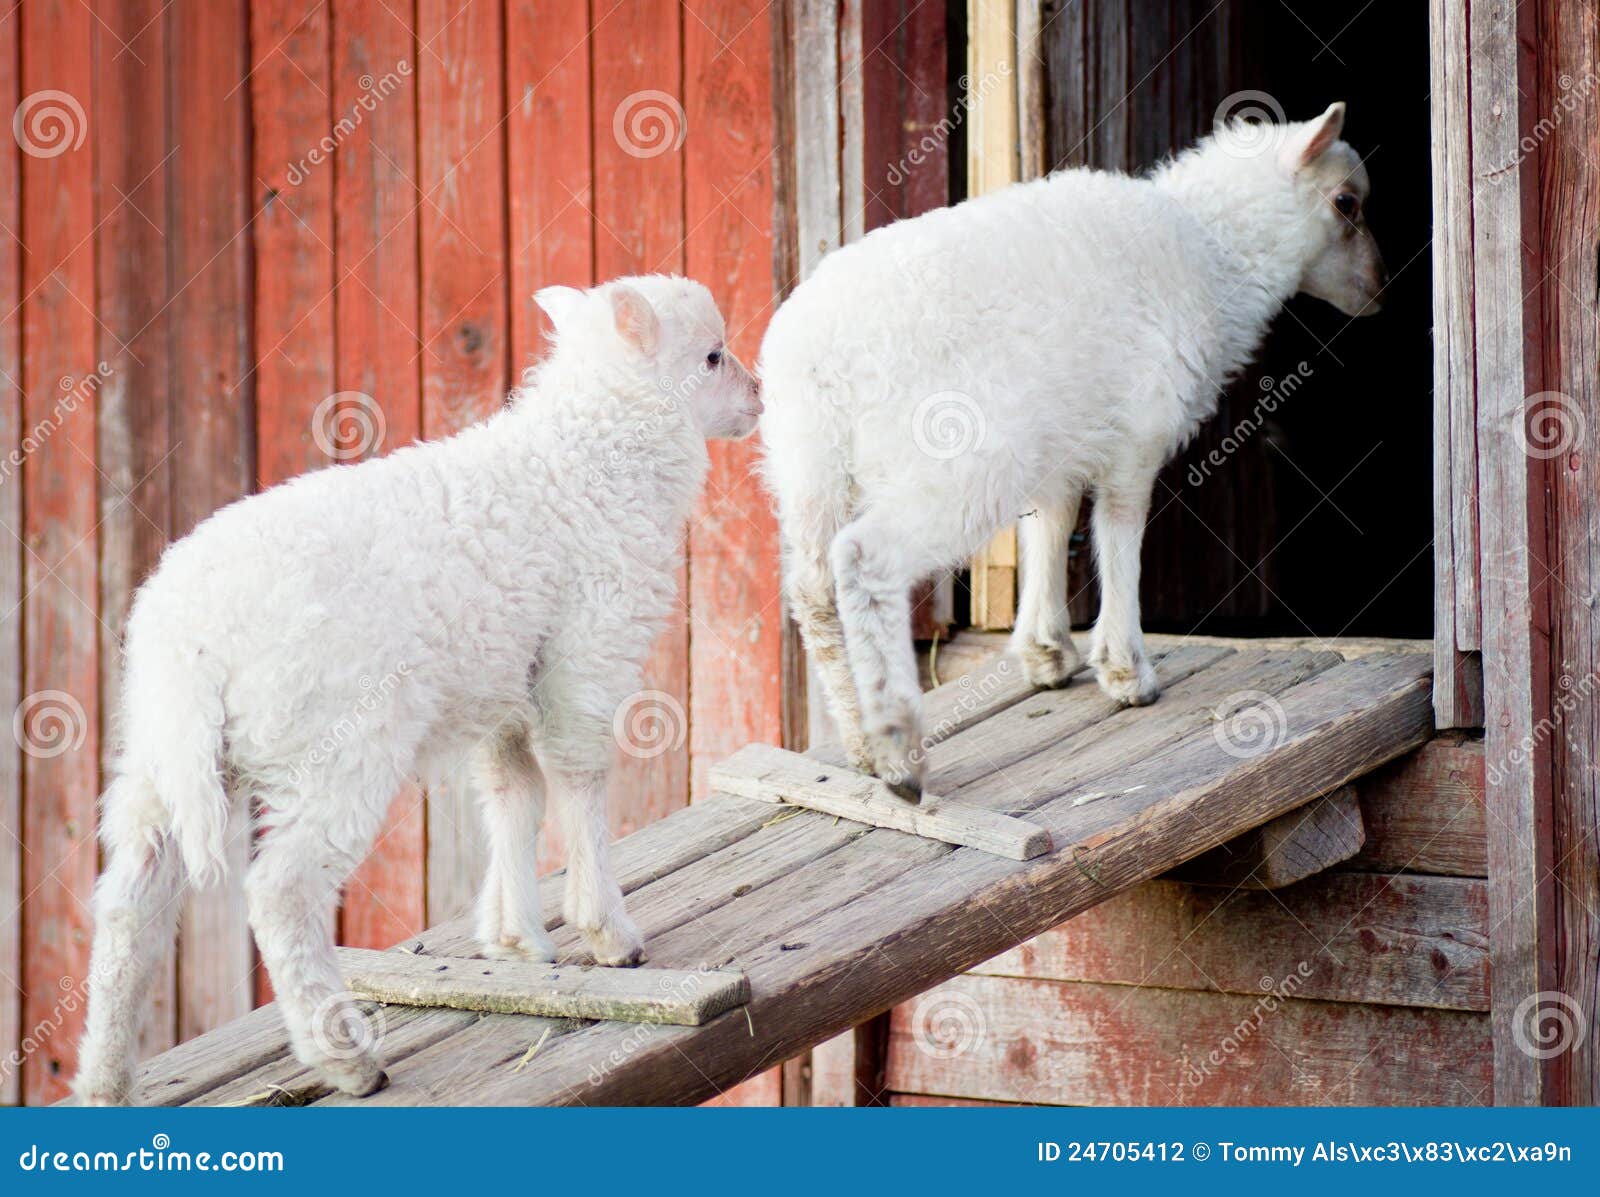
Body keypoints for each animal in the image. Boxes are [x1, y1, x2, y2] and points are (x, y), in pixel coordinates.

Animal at [73, 276, 762, 1105]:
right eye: (713, 356)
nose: (758, 395)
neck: (590, 454)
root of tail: (188, 643)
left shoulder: (507, 681)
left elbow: (514, 794)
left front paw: (514, 937)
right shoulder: (585, 655)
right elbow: (579, 780)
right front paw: (608, 932)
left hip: (158, 756)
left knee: (129, 908)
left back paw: (105, 1079)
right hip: (334, 743)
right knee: (281, 891)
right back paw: (346, 1056)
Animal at [758, 103, 1386, 800]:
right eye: (1347, 203)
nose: (1380, 290)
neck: (1214, 250)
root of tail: (820, 358)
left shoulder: (1061, 443)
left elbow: (1051, 526)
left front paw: (1046, 652)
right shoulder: (1137, 433)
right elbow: (1119, 532)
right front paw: (1126, 670)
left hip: (808, 468)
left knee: (814, 593)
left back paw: (863, 744)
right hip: (952, 463)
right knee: (867, 562)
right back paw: (899, 755)